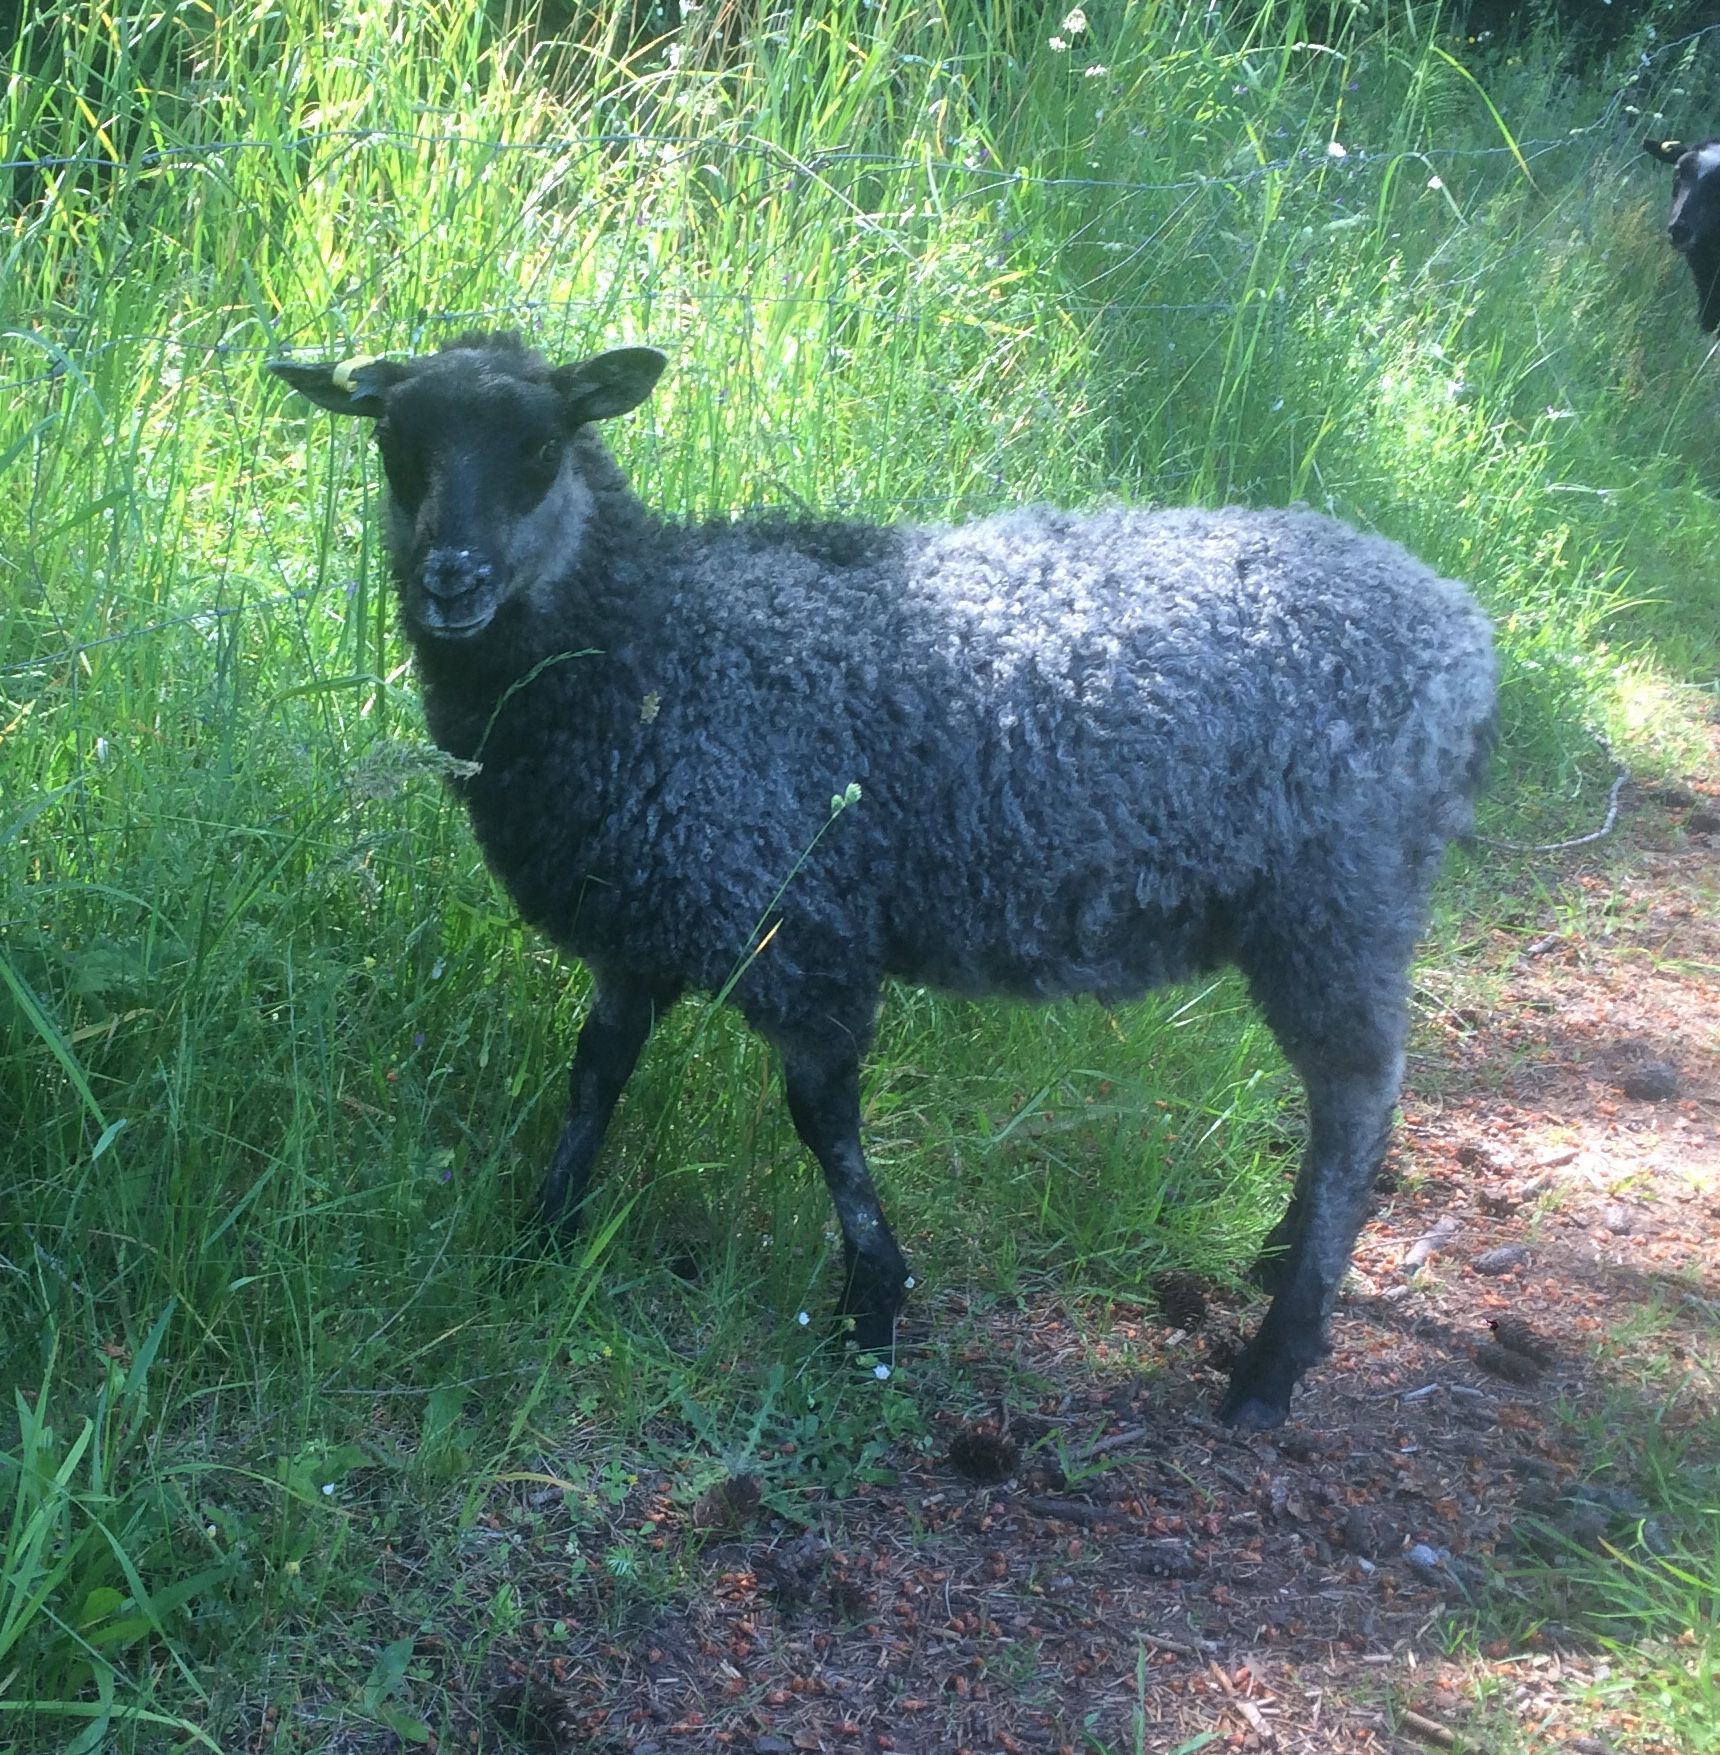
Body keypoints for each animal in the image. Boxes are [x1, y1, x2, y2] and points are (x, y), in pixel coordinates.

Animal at [268, 332, 1497, 1429]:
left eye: (539, 444)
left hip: (1338, 900)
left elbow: (822, 1119)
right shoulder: (639, 921)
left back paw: (1273, 1359)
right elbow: (595, 1076)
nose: (452, 580)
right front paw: (541, 1236)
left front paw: (873, 1305)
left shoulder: (794, 927)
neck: (651, 637)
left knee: (1357, 1101)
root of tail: (1463, 630)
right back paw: (1277, 1259)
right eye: (395, 441)